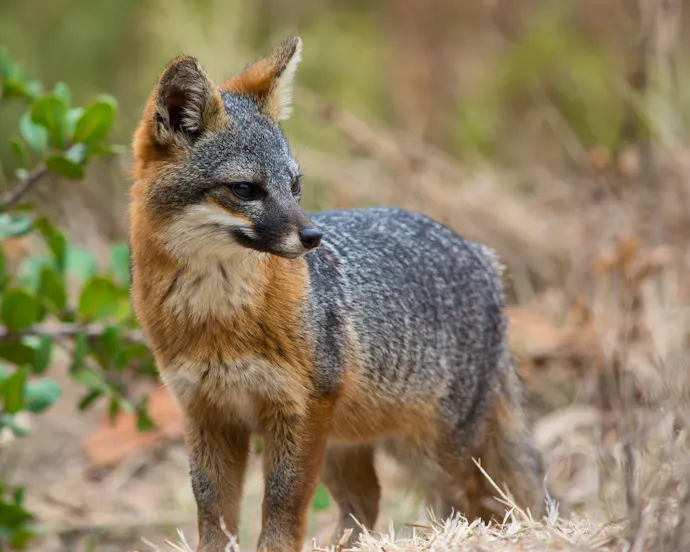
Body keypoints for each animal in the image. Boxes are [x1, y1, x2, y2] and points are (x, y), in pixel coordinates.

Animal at [129, 36, 545, 552]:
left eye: (294, 186)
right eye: (245, 189)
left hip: (432, 454)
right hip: (345, 447)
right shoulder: (205, 412)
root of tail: (481, 254)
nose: (313, 237)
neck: (217, 320)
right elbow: (212, 510)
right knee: (365, 505)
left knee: (471, 505)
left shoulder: (299, 408)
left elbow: (282, 502)